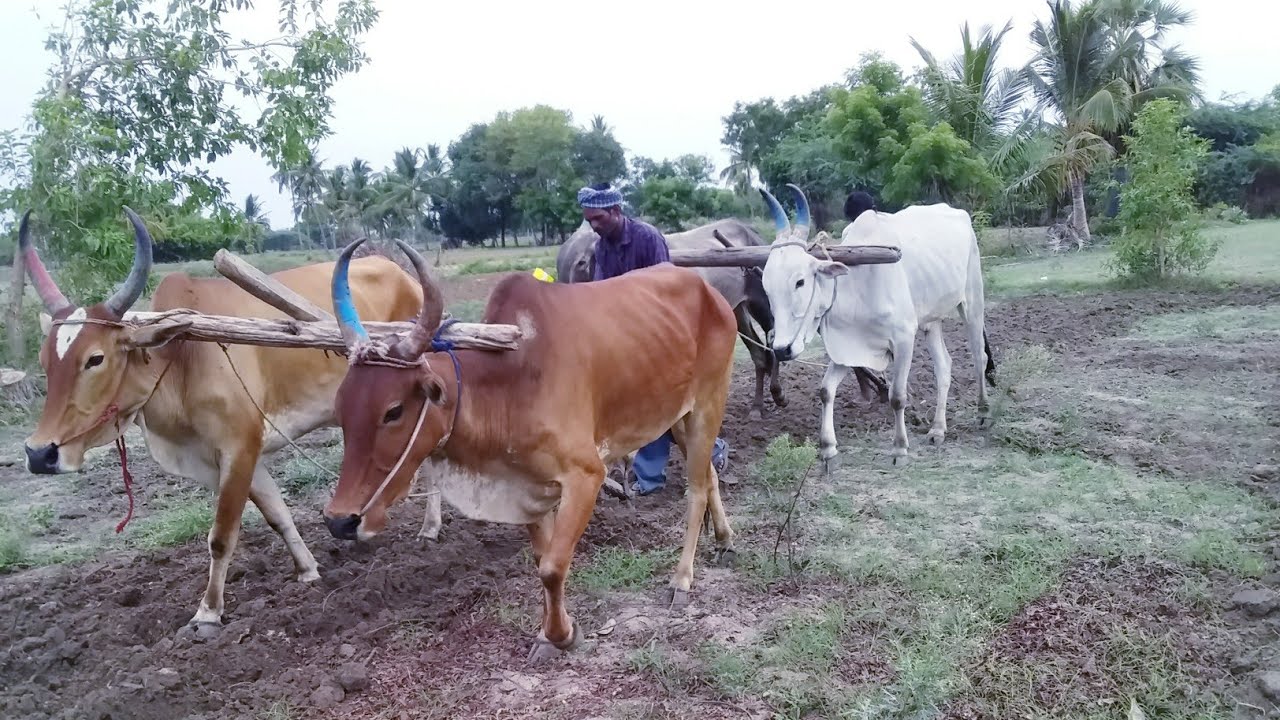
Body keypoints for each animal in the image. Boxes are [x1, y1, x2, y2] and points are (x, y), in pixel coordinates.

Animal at [16, 208, 425, 635]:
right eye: (45, 360)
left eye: (95, 358)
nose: (39, 454)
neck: (182, 358)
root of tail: (397, 269)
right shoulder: (234, 458)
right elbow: (277, 515)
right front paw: (308, 571)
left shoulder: (238, 447)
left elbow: (221, 535)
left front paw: (208, 612)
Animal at [320, 238, 739, 663]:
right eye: (341, 409)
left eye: (393, 411)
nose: (340, 521)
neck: (510, 384)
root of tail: (708, 291)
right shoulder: (529, 486)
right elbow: (545, 559)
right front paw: (552, 632)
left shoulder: (586, 476)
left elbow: (553, 566)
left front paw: (561, 635)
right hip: (676, 416)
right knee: (709, 473)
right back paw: (724, 539)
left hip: (709, 401)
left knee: (697, 488)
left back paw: (682, 580)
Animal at [556, 219, 889, 419]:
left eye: (584, 265)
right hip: (737, 310)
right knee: (761, 354)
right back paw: (758, 405)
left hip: (760, 302)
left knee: (773, 343)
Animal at [759, 185, 996, 467]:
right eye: (766, 286)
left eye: (800, 281)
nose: (781, 349)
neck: (856, 285)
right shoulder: (849, 348)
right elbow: (826, 390)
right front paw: (828, 447)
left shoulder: (904, 338)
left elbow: (897, 396)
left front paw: (899, 448)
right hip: (931, 319)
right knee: (944, 367)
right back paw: (938, 429)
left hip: (972, 301)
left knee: (979, 356)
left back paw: (983, 412)